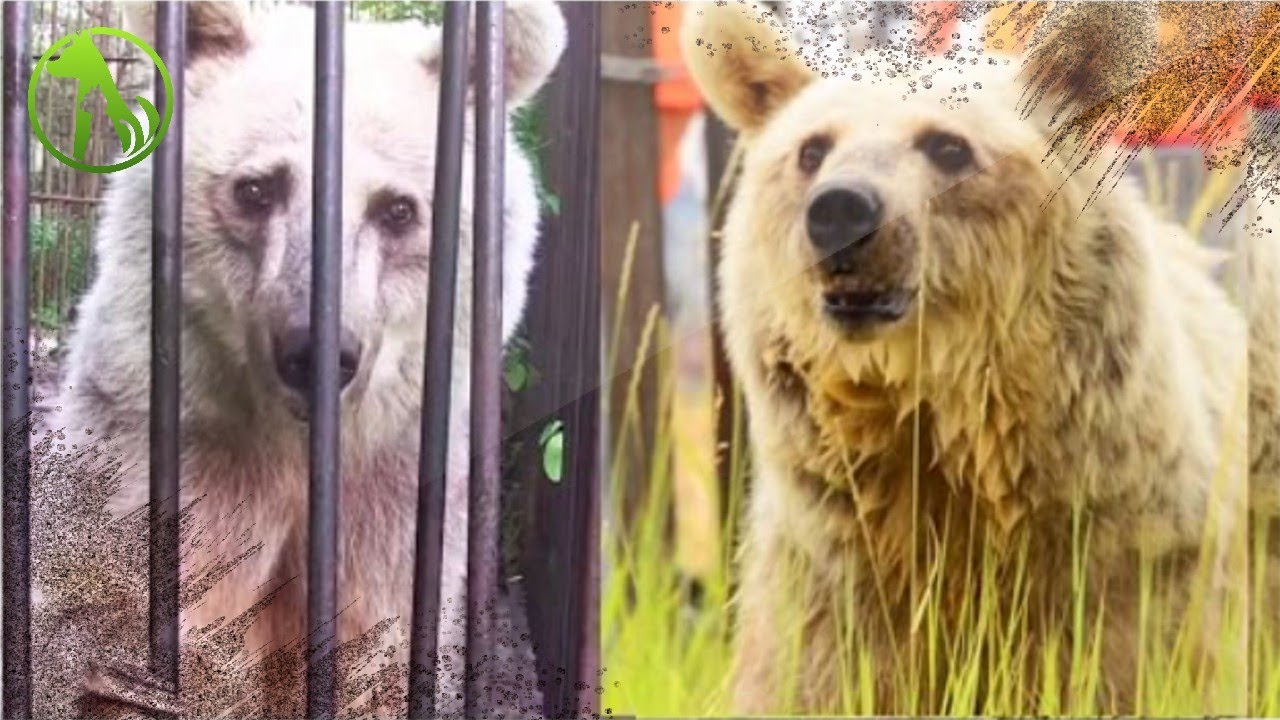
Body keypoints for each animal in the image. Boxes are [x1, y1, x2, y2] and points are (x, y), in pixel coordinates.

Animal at [31, 2, 565, 717]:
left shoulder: (396, 499)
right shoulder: (170, 460)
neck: (294, 449)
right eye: (257, 189)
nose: (316, 353)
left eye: (398, 209)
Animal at [683, 2, 1250, 715]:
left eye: (947, 145)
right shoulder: (833, 576)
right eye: (812, 149)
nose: (841, 210)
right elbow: (817, 678)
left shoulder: (1123, 553)